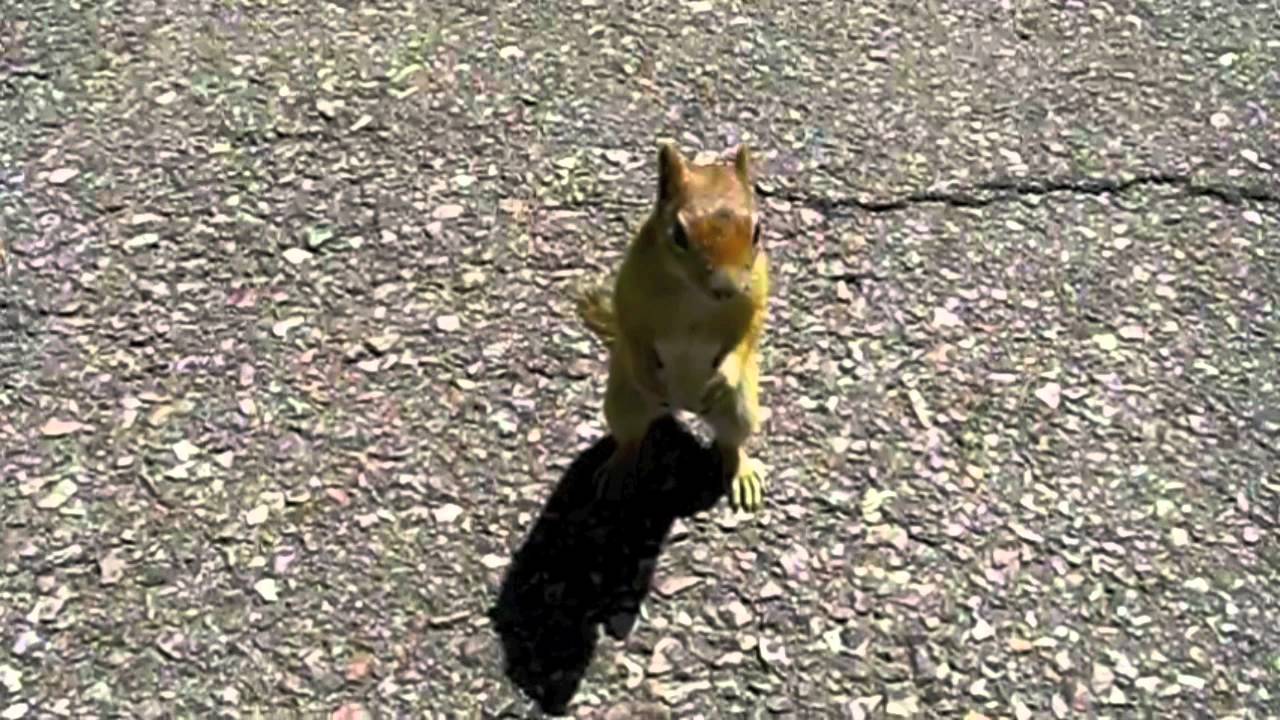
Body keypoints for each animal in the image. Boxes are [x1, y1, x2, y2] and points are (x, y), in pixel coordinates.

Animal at [576, 142, 770, 512]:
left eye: (757, 231)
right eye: (679, 234)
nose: (726, 288)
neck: (693, 293)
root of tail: (683, 405)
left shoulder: (755, 293)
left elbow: (747, 335)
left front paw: (725, 374)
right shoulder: (630, 290)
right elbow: (631, 327)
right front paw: (647, 372)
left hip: (740, 407)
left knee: (730, 442)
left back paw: (741, 471)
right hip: (624, 400)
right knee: (631, 438)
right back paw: (618, 471)